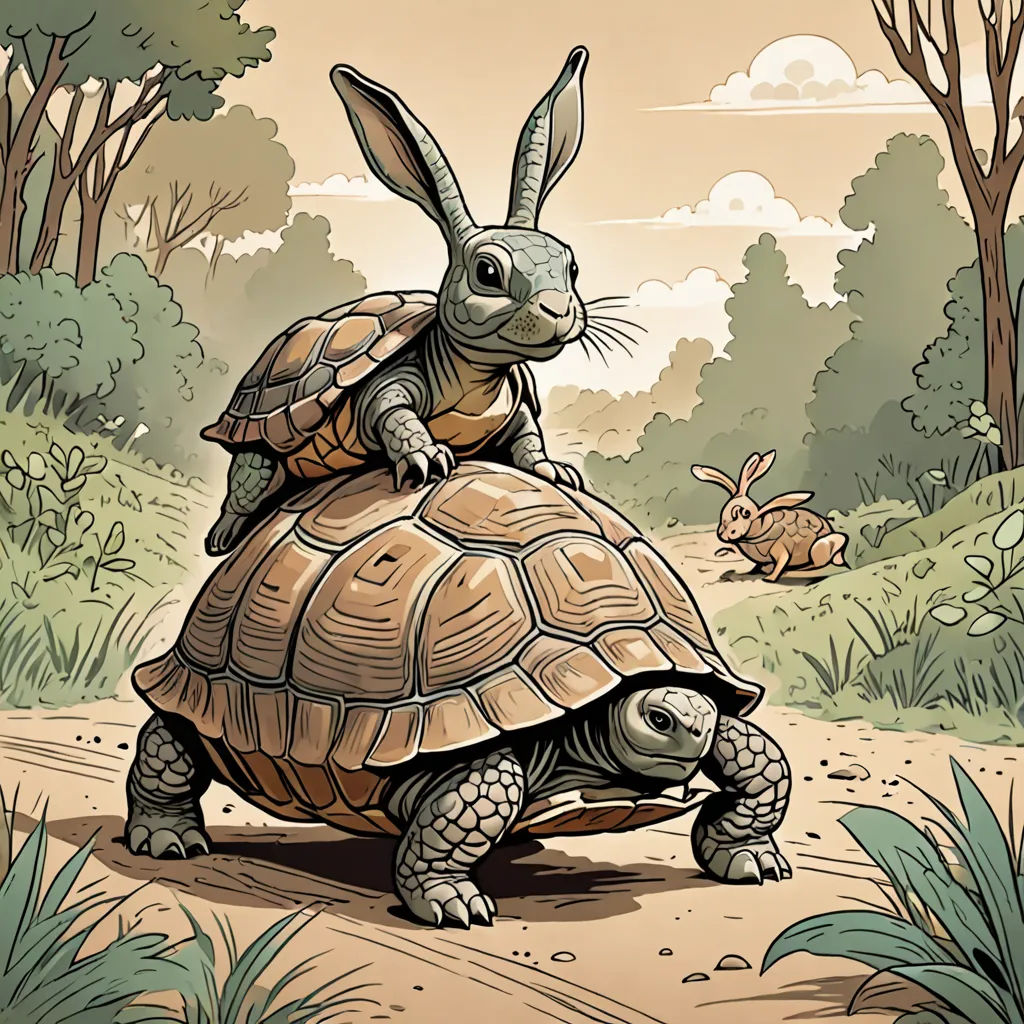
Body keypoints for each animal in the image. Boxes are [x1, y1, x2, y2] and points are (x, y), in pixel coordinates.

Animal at [690, 450, 848, 582]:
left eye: (746, 513)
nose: (725, 534)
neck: (760, 529)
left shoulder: (780, 549)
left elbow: (781, 562)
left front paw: (769, 578)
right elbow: (756, 565)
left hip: (819, 546)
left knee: (822, 558)